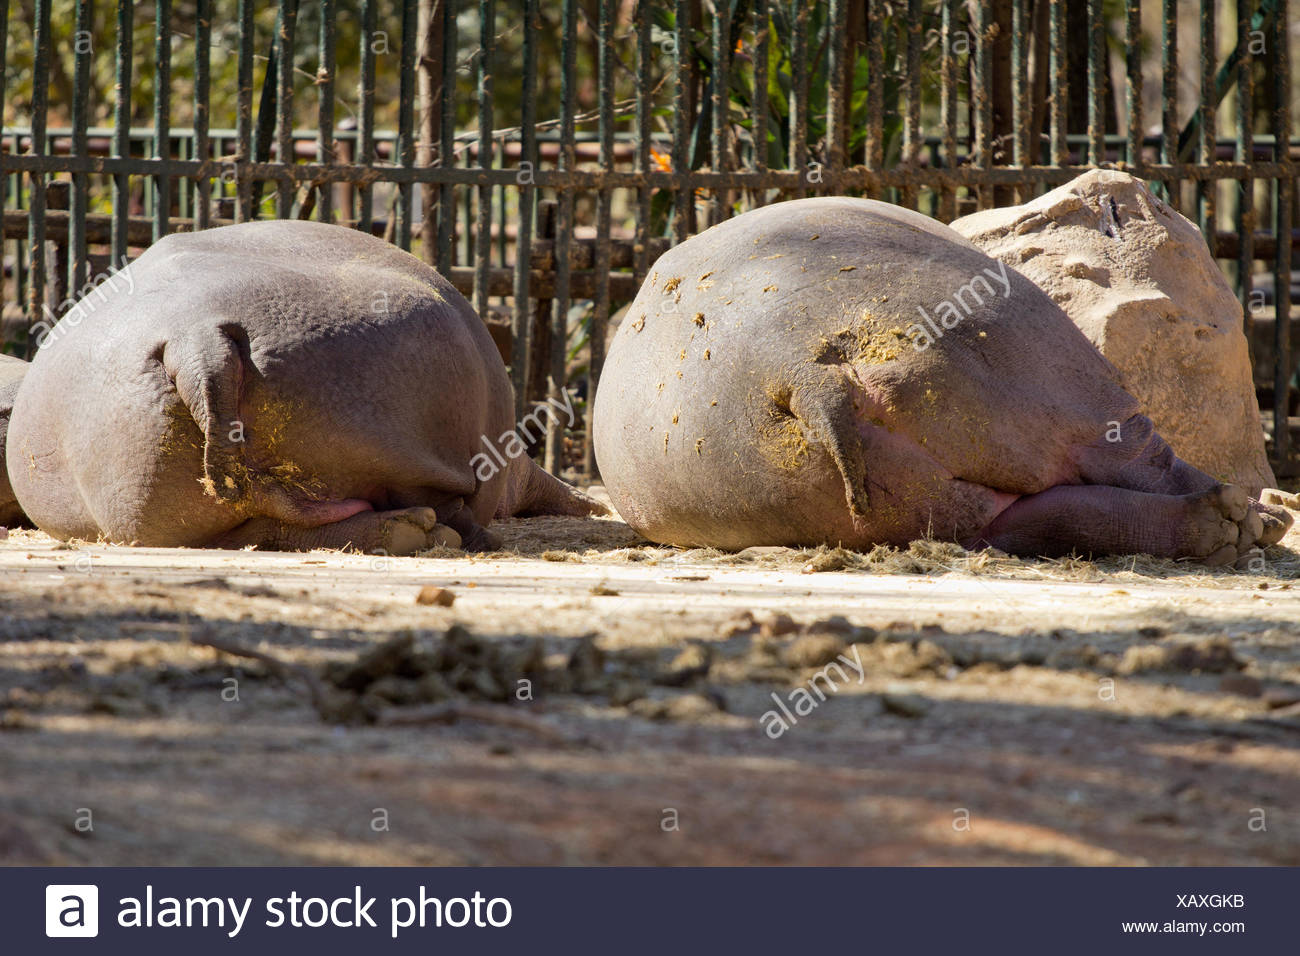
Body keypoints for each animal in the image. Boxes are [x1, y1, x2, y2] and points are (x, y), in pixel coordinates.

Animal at [6, 220, 601, 553]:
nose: (591, 505)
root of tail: (194, 339)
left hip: (152, 508)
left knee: (265, 530)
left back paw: (408, 534)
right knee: (451, 505)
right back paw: (437, 534)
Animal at [592, 197, 1292, 565]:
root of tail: (797, 376)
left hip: (913, 501)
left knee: (1047, 520)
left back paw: (1240, 524)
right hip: (1063, 380)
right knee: (1147, 464)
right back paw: (1255, 520)